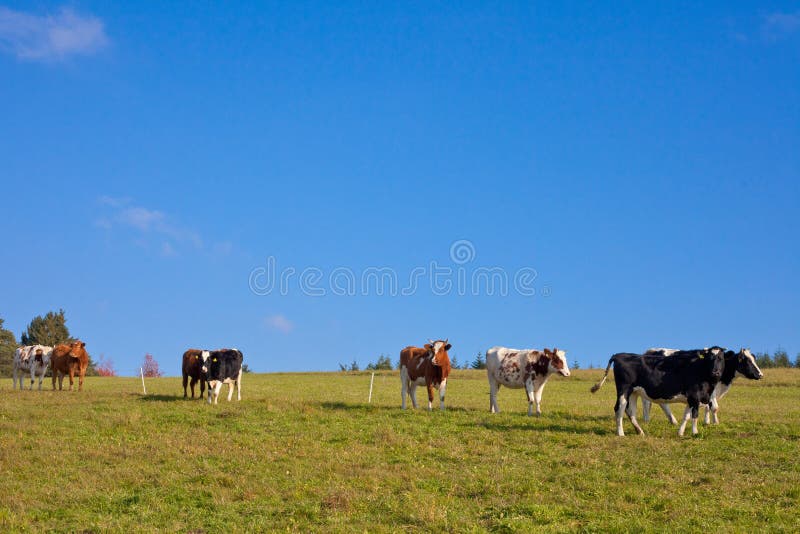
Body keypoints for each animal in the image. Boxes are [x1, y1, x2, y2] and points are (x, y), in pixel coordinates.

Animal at [590, 348, 725, 436]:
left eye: (721, 358)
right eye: (709, 358)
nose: (716, 372)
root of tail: (619, 355)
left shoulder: (691, 399)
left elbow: (686, 416)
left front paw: (680, 432)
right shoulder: (694, 396)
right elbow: (695, 415)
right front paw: (695, 433)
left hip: (634, 392)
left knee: (630, 410)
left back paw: (640, 431)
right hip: (624, 389)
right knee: (619, 408)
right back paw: (621, 433)